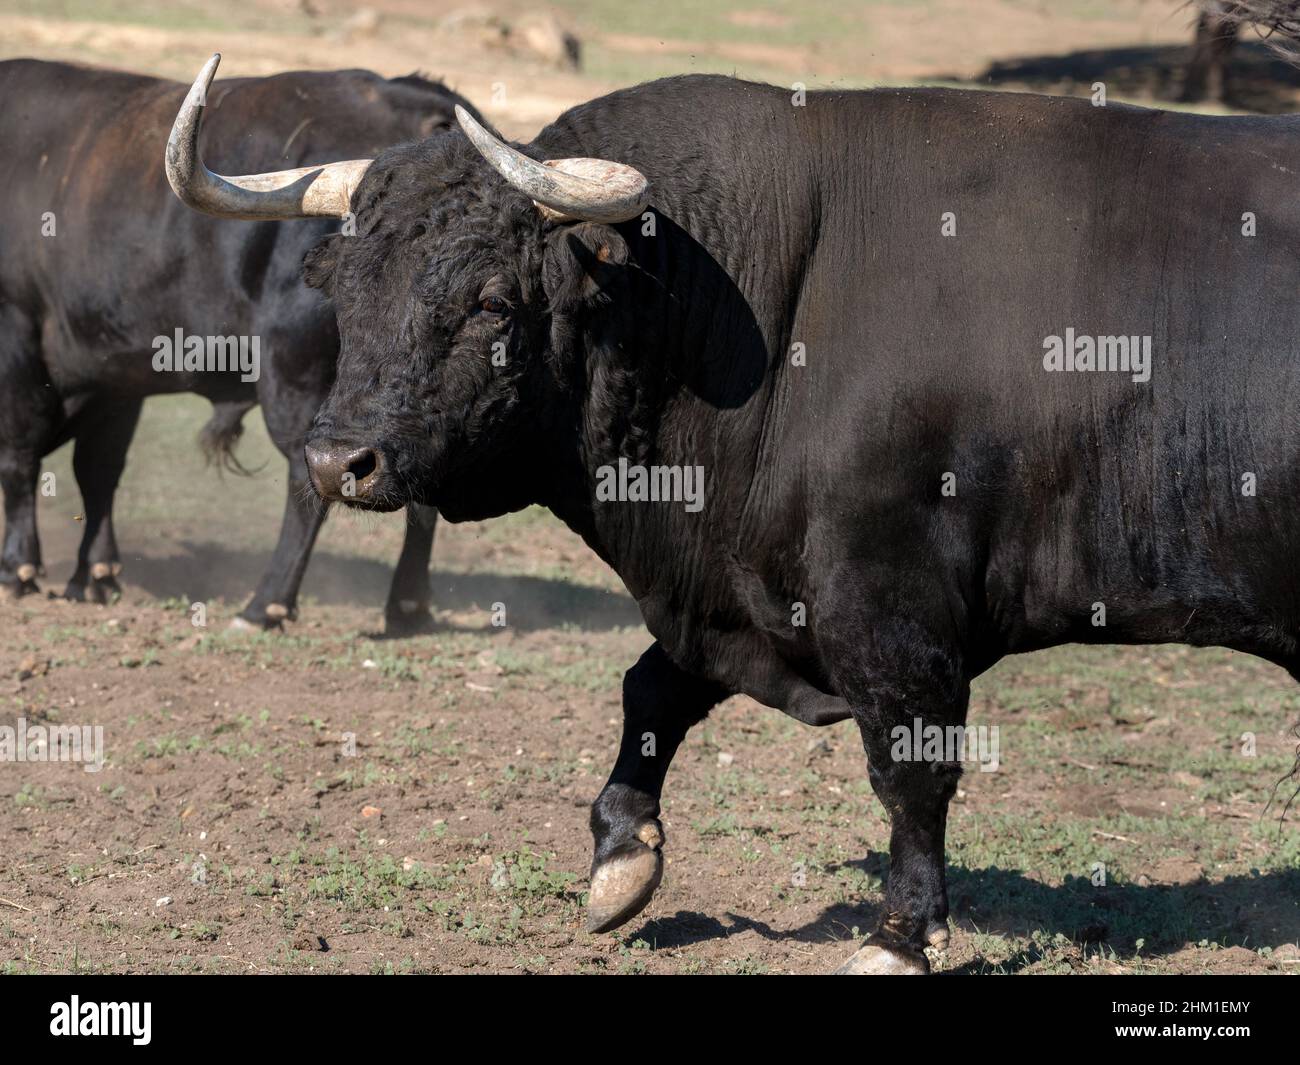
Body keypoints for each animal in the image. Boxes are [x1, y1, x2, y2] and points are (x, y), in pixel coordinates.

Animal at [0, 59, 488, 632]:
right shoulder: (113, 376)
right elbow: (98, 469)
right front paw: (92, 576)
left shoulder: (17, 342)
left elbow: (19, 458)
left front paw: (18, 569)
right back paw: (406, 605)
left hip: (299, 383)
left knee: (313, 480)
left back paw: (265, 604)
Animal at [168, 53, 1300, 974]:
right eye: (346, 288)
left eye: (491, 299)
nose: (336, 459)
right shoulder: (739, 593)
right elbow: (652, 690)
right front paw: (622, 857)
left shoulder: (888, 601)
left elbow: (911, 766)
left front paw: (900, 936)